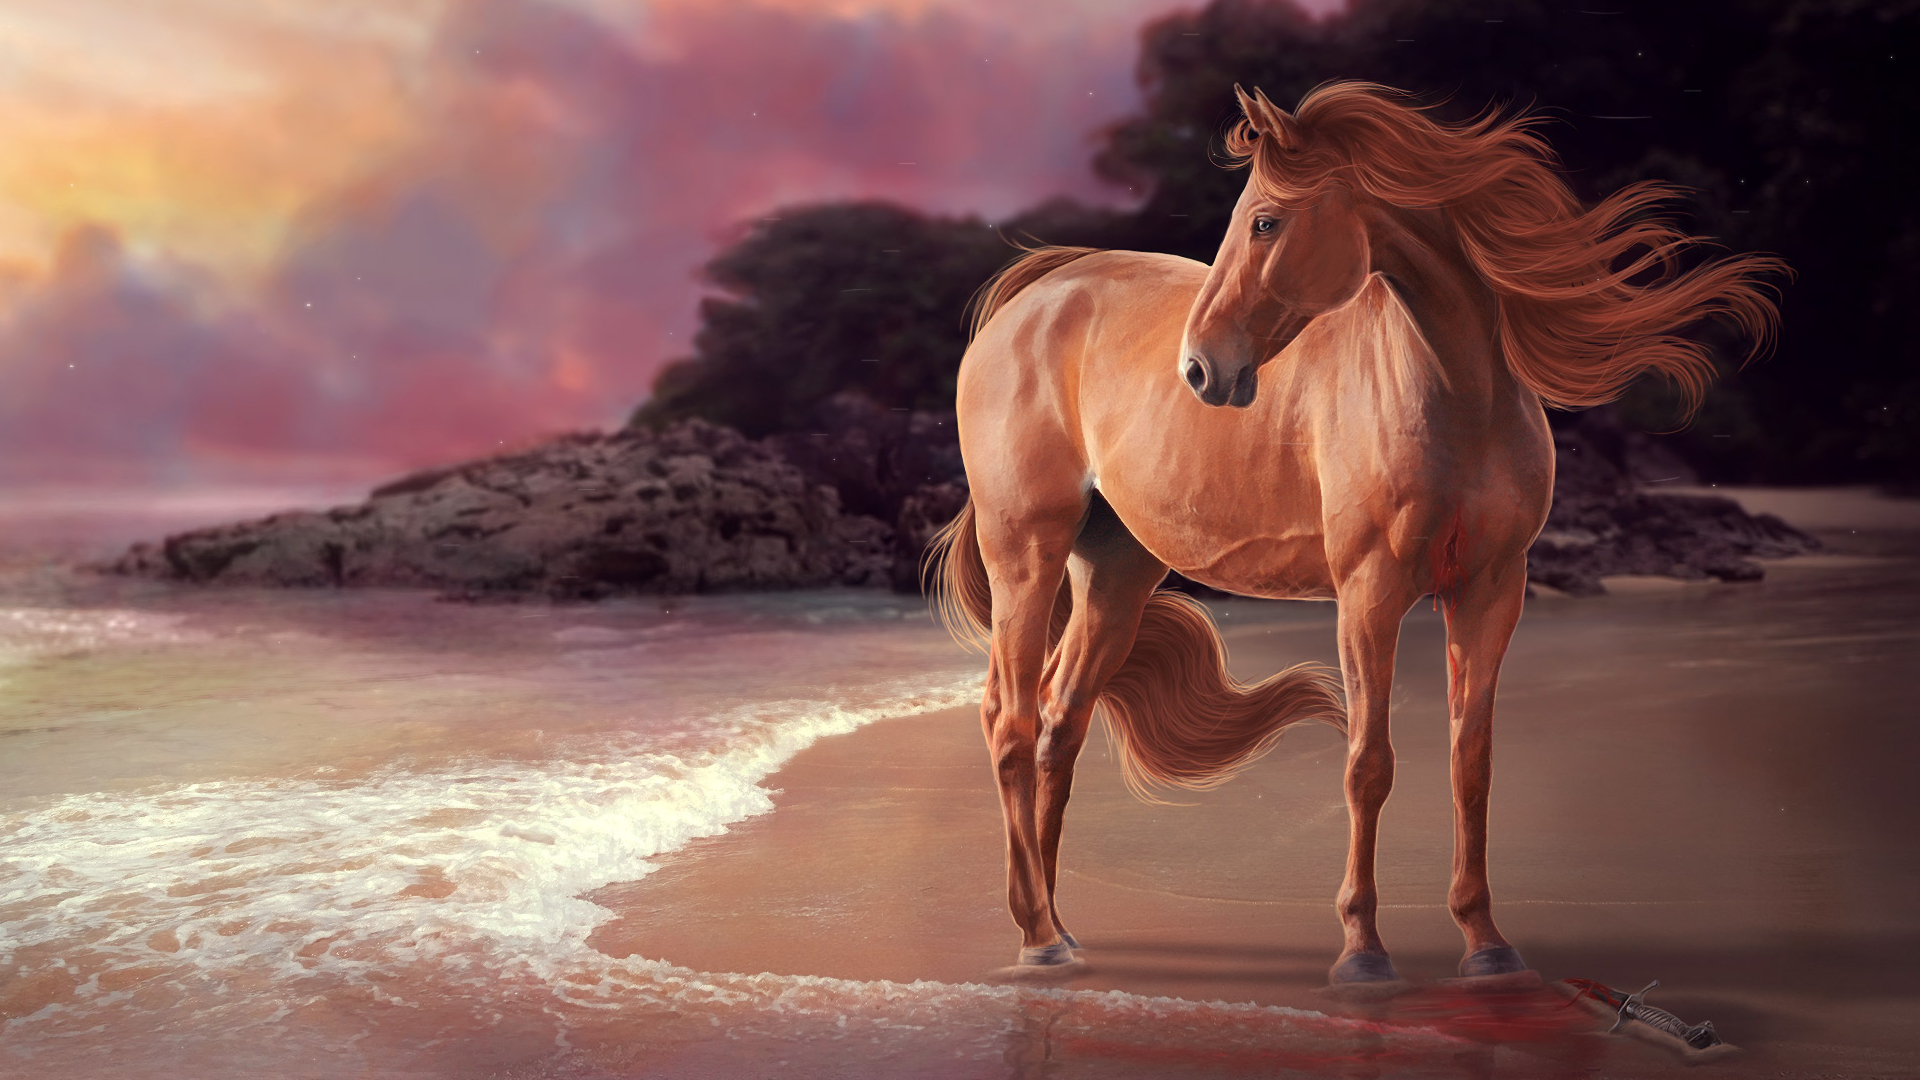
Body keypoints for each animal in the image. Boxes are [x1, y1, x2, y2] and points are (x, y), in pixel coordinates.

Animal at [926, 81, 1782, 985]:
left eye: (1266, 220)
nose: (1201, 369)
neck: (1454, 394)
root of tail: (1031, 300)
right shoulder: (1369, 594)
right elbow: (1369, 763)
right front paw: (1362, 950)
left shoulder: (1491, 593)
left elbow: (1470, 763)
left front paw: (1486, 942)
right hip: (1028, 551)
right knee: (1010, 722)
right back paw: (1036, 933)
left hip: (1115, 574)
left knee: (1061, 721)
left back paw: (1056, 923)